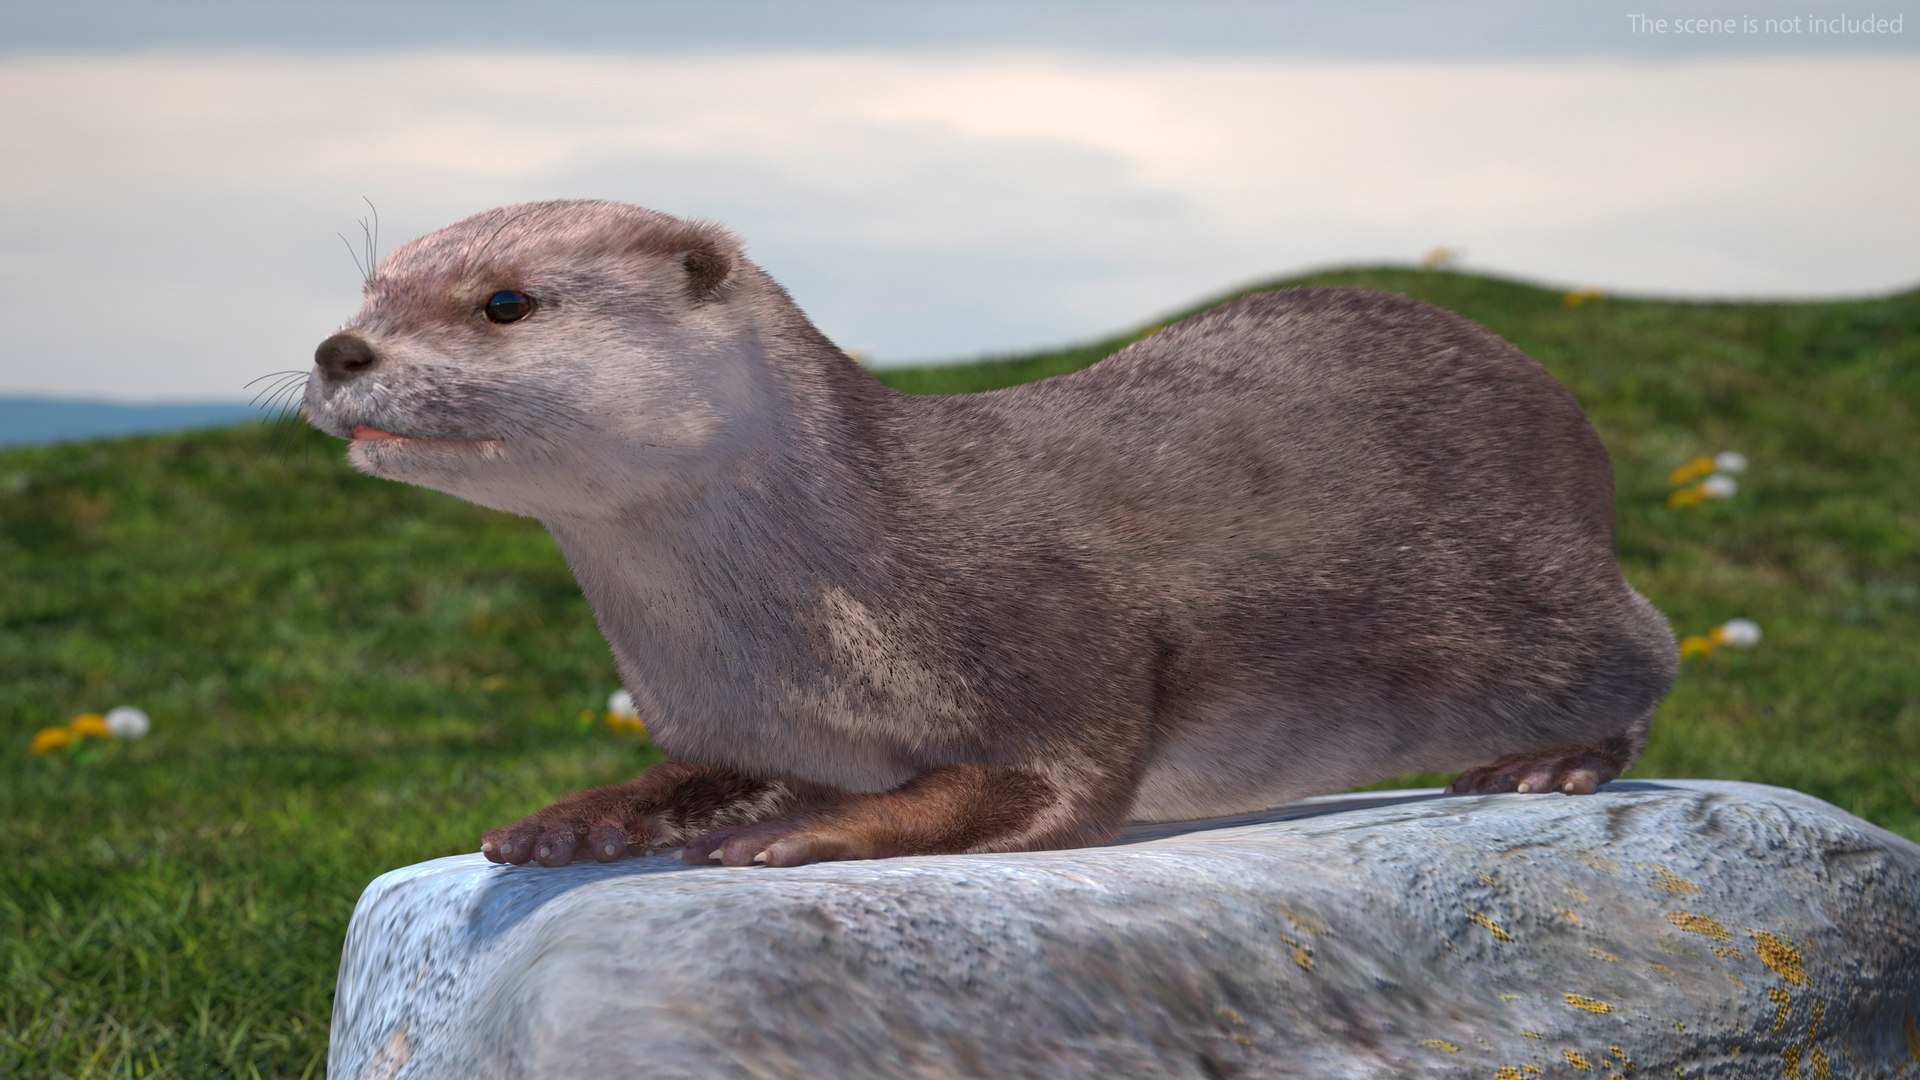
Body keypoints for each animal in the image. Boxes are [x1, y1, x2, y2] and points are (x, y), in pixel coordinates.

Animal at [303, 199, 1676, 869]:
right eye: (368, 288)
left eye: (504, 303)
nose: (338, 349)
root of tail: (1572, 425)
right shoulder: (736, 722)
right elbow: (698, 776)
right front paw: (580, 819)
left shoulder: (1058, 641)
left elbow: (1051, 785)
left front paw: (804, 834)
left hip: (1540, 608)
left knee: (1653, 654)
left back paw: (1544, 766)